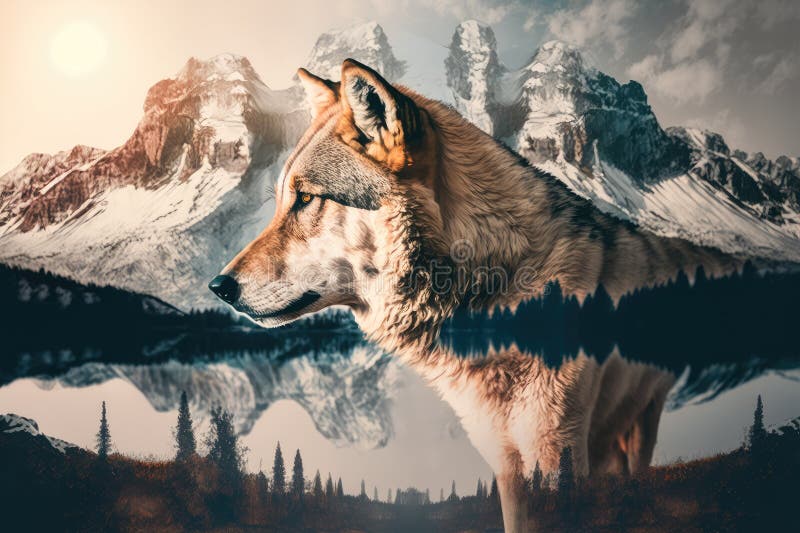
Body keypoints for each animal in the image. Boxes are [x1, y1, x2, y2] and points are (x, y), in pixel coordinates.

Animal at [209, 59, 740, 531]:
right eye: (282, 199)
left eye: (306, 198)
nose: (219, 287)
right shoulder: (507, 464)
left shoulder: (554, 453)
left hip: (636, 426)